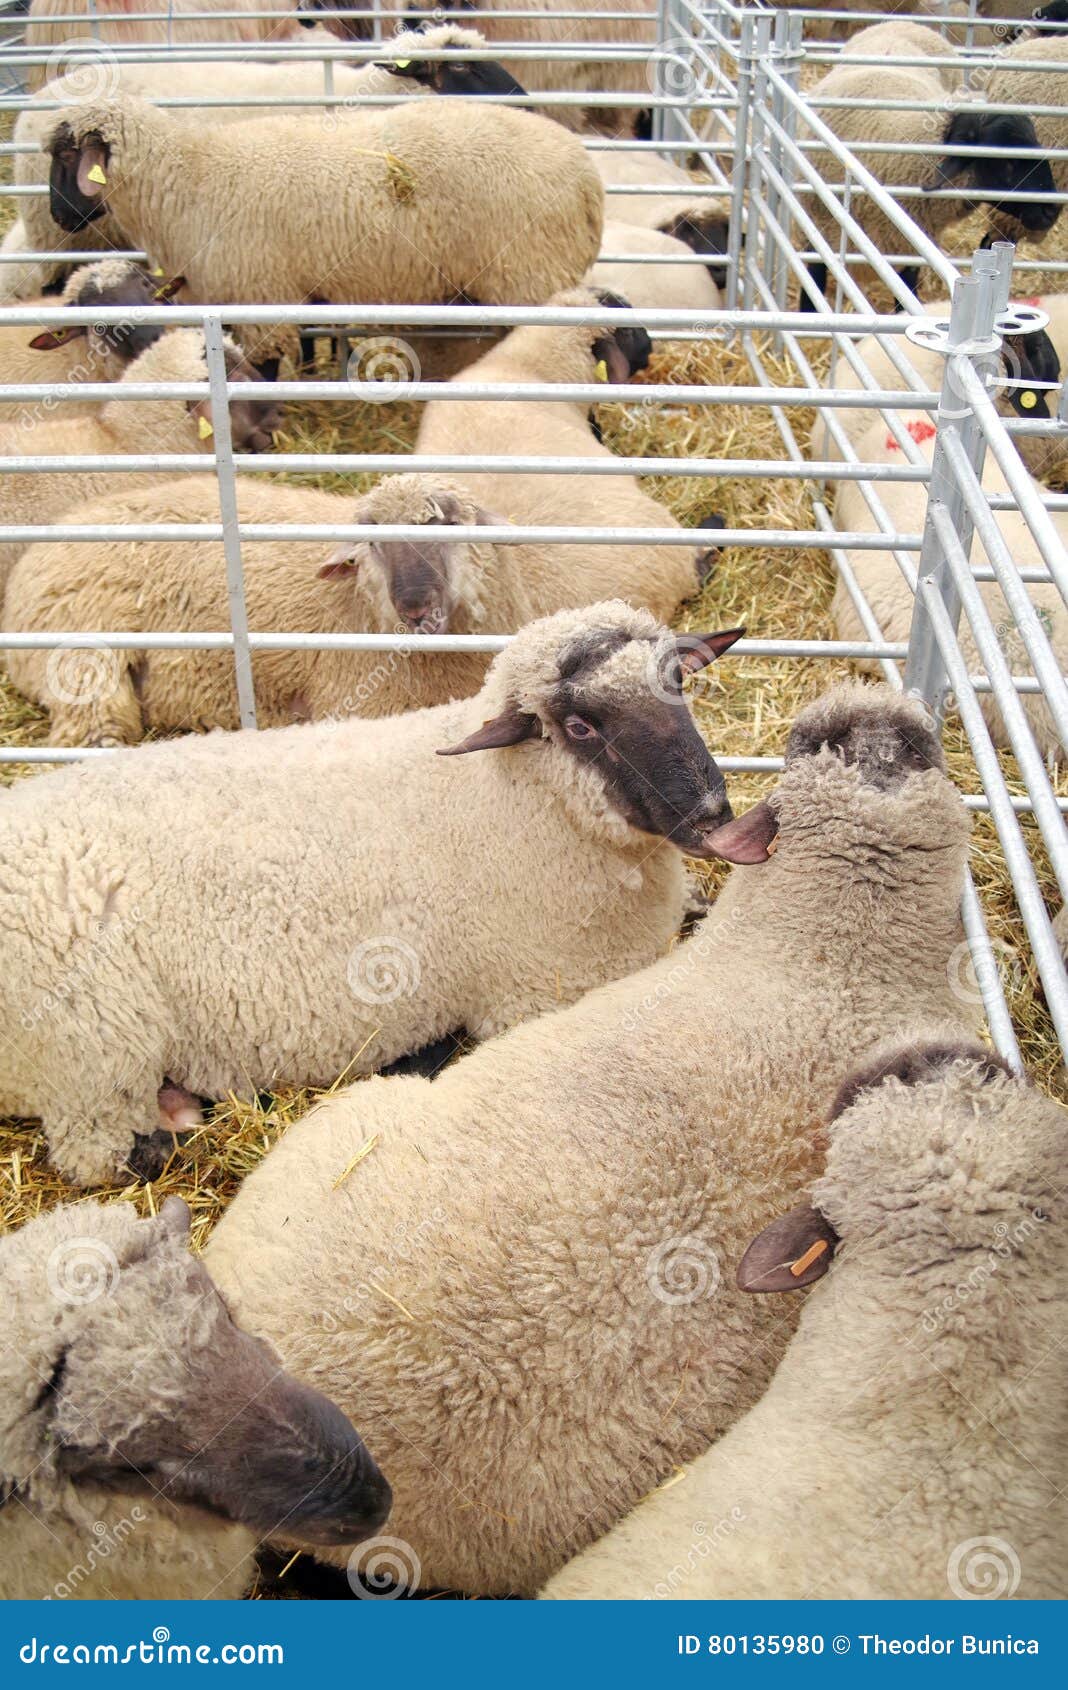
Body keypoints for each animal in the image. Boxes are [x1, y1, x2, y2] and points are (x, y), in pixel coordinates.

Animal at [0, 600, 745, 1189]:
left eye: (679, 682)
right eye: (581, 727)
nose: (711, 812)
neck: (503, 798)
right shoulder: (529, 998)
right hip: (92, 1052)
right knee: (107, 1154)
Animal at [38, 97, 604, 325]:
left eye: (66, 155)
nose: (59, 218)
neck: (188, 172)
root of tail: (586, 176)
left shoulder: (257, 292)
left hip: (530, 275)